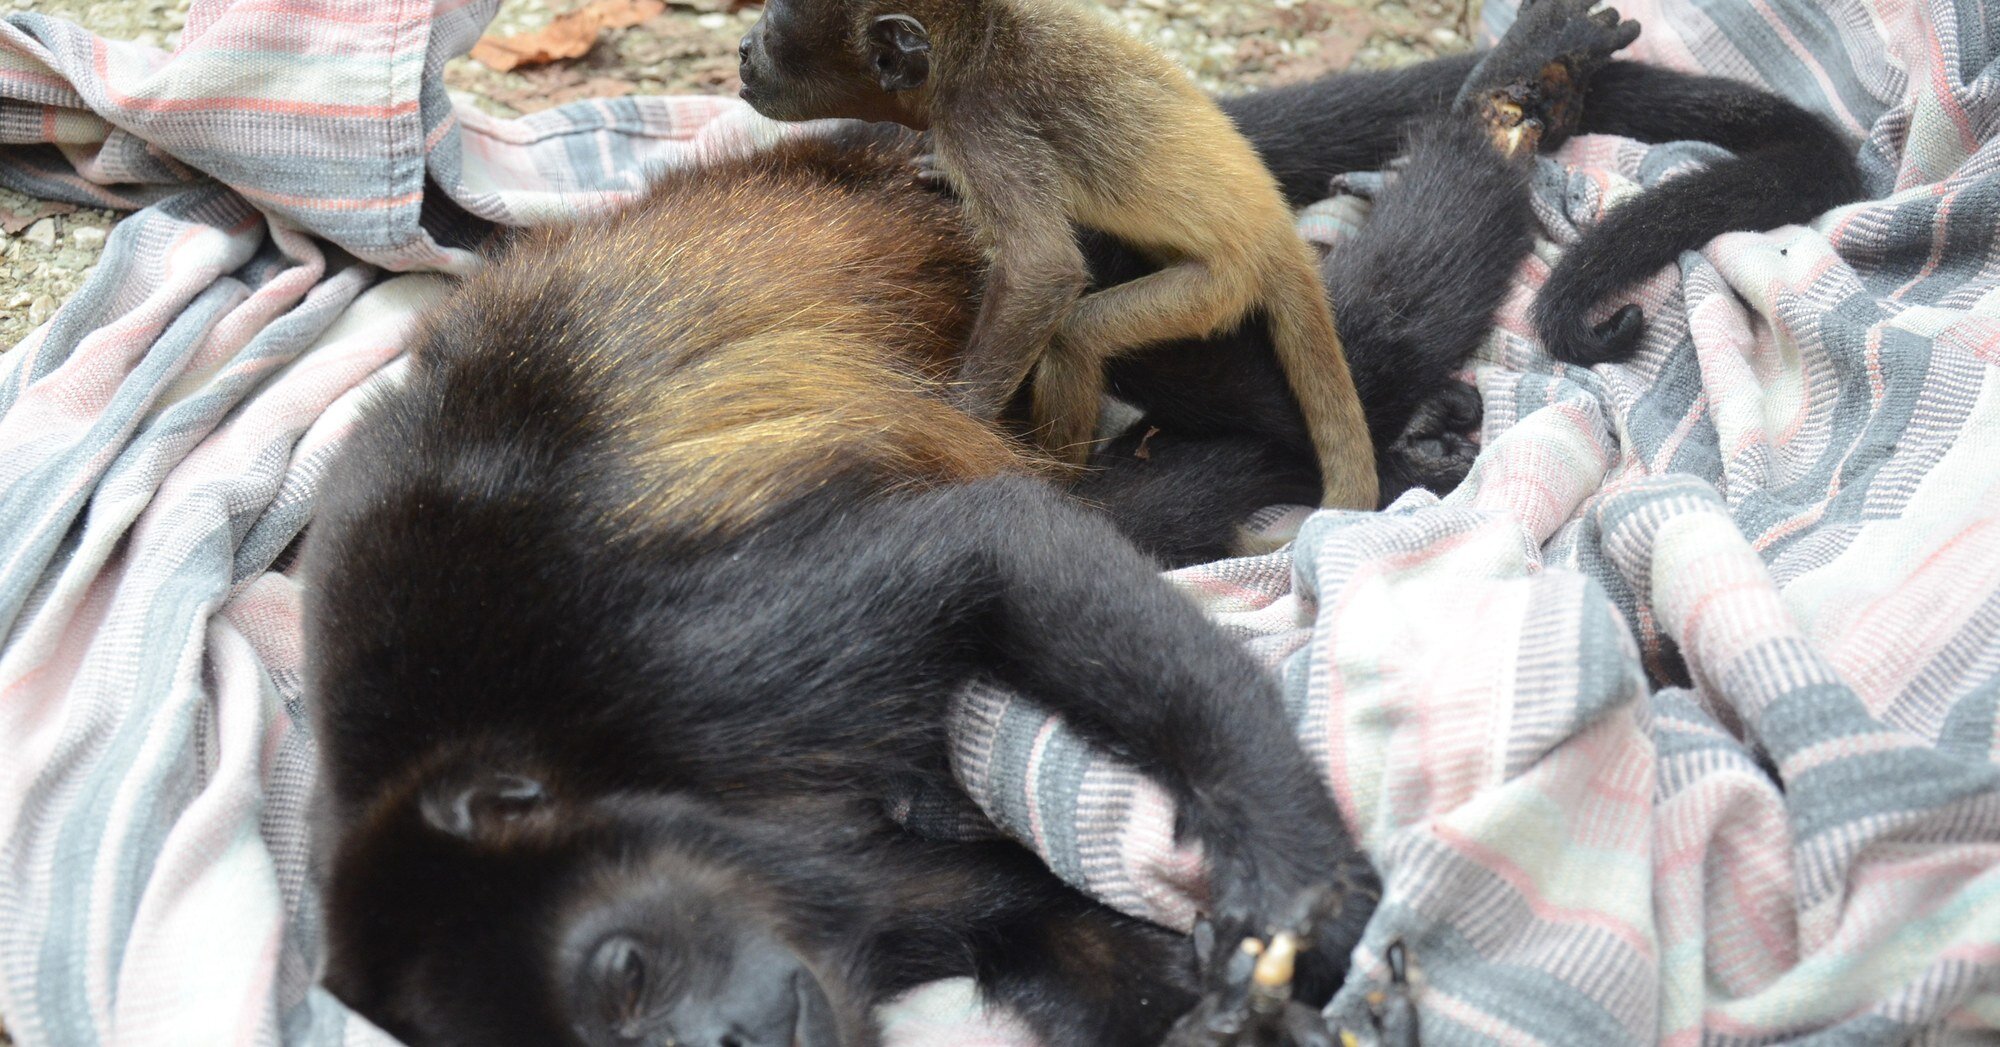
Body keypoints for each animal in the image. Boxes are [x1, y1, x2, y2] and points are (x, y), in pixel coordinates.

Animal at [737, 0, 1389, 513]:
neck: (971, 48)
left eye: (774, 26)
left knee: (1076, 334)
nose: (742, 49)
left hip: (1219, 286)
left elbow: (1042, 269)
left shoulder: (980, 122)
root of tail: (1274, 227)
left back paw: (1061, 475)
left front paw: (960, 425)